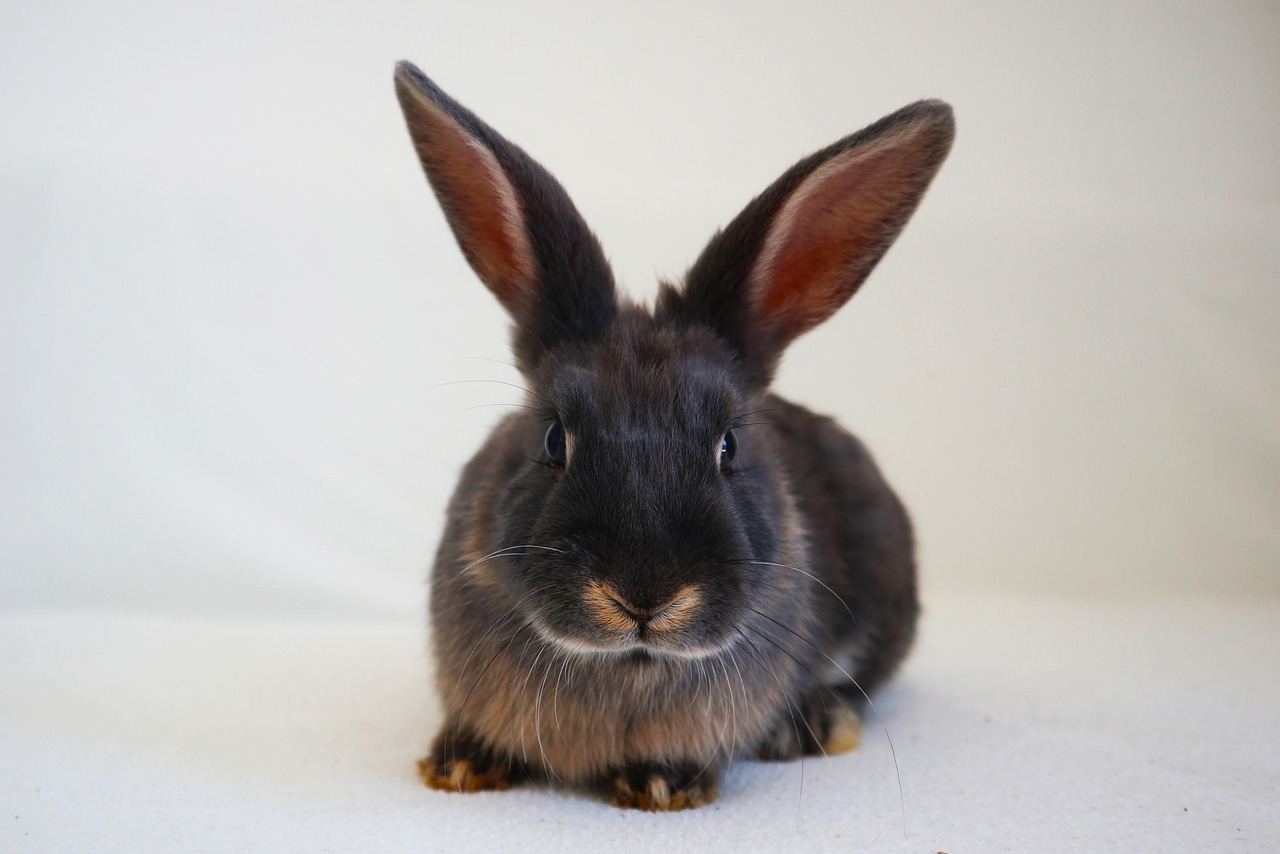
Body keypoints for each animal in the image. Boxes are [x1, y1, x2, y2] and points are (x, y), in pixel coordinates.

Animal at [394, 59, 953, 811]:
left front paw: (663, 784)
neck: (628, 663)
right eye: (553, 440)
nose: (644, 597)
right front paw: (458, 763)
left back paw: (814, 724)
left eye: (728, 447)